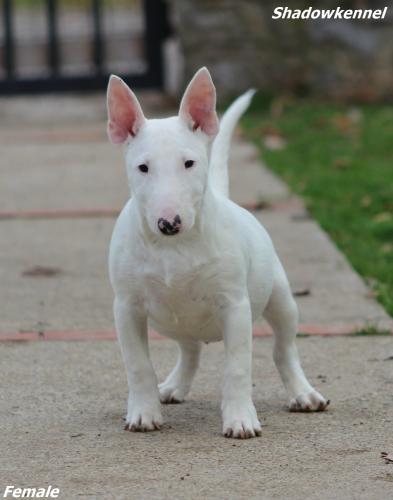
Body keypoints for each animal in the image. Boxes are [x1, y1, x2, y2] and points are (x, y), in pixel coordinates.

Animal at [106, 68, 328, 440]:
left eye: (189, 163)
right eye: (142, 168)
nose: (169, 223)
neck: (173, 247)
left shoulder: (234, 305)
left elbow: (237, 367)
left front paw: (240, 420)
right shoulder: (126, 307)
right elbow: (138, 365)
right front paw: (143, 414)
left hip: (281, 299)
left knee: (284, 348)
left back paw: (303, 394)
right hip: (172, 321)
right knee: (190, 349)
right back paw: (172, 387)